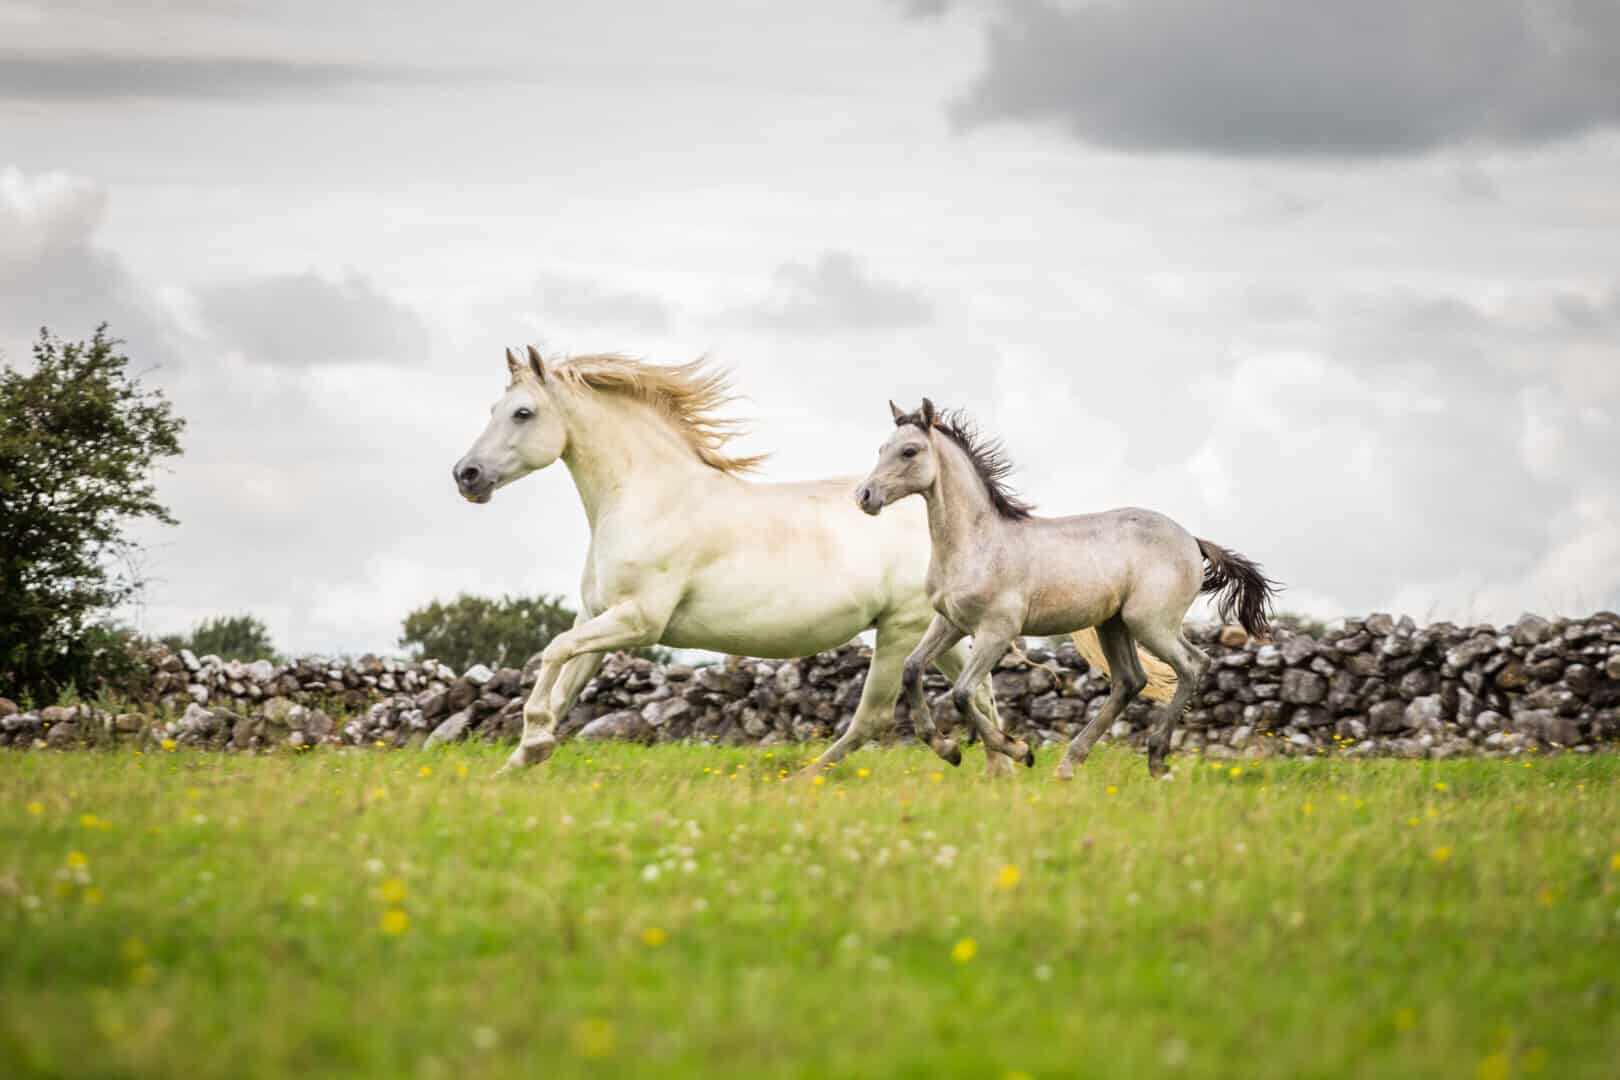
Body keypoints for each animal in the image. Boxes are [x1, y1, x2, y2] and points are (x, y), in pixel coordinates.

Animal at [454, 347, 1049, 776]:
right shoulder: (598, 618)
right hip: (936, 629)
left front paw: (532, 733)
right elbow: (563, 681)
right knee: (979, 691)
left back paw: (815, 776)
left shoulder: (637, 621)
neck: (649, 498)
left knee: (876, 715)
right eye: (492, 410)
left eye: (523, 412)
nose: (466, 475)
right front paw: (515, 767)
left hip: (900, 629)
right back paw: (1003, 766)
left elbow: (554, 653)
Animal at [855, 397, 1279, 779]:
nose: (864, 496)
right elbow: (912, 670)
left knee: (1191, 666)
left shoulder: (997, 631)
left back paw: (1157, 759)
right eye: (881, 449)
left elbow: (960, 693)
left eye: (909, 450)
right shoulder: (952, 623)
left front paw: (1017, 749)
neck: (977, 542)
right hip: (1115, 624)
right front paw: (947, 749)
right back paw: (1069, 763)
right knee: (1134, 680)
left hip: (1149, 623)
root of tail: (1193, 541)